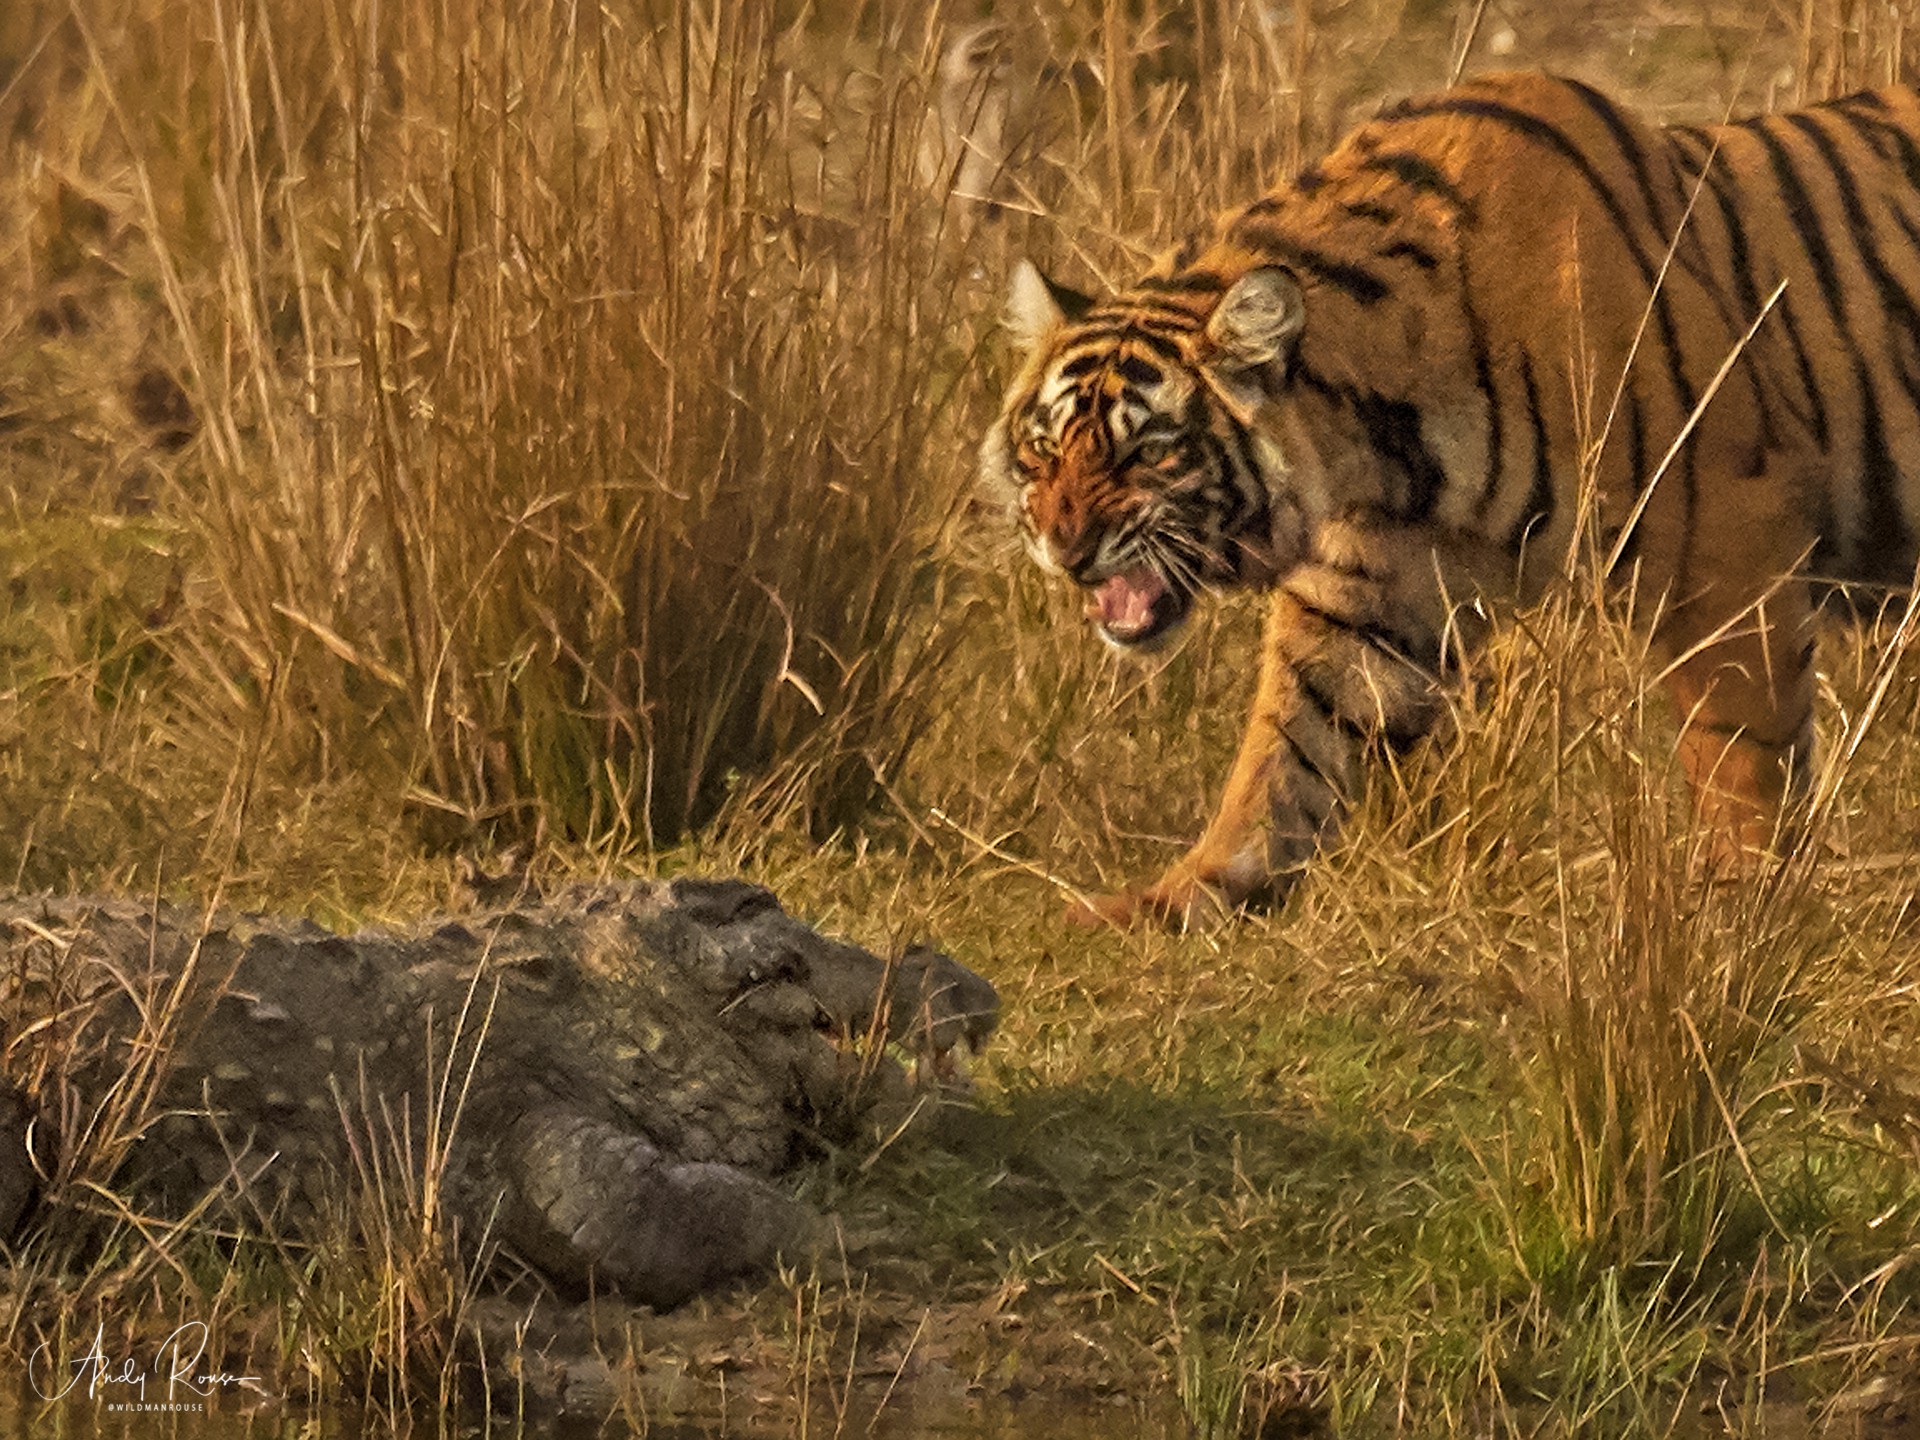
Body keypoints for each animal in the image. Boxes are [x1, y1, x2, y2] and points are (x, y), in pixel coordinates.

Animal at [980, 70, 1920, 928]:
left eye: (1150, 450)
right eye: (1043, 450)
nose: (1064, 551)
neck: (1381, 439)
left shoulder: (1728, 535)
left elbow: (1742, 756)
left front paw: (1744, 910)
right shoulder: (1369, 584)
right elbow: (1288, 750)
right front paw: (1185, 895)